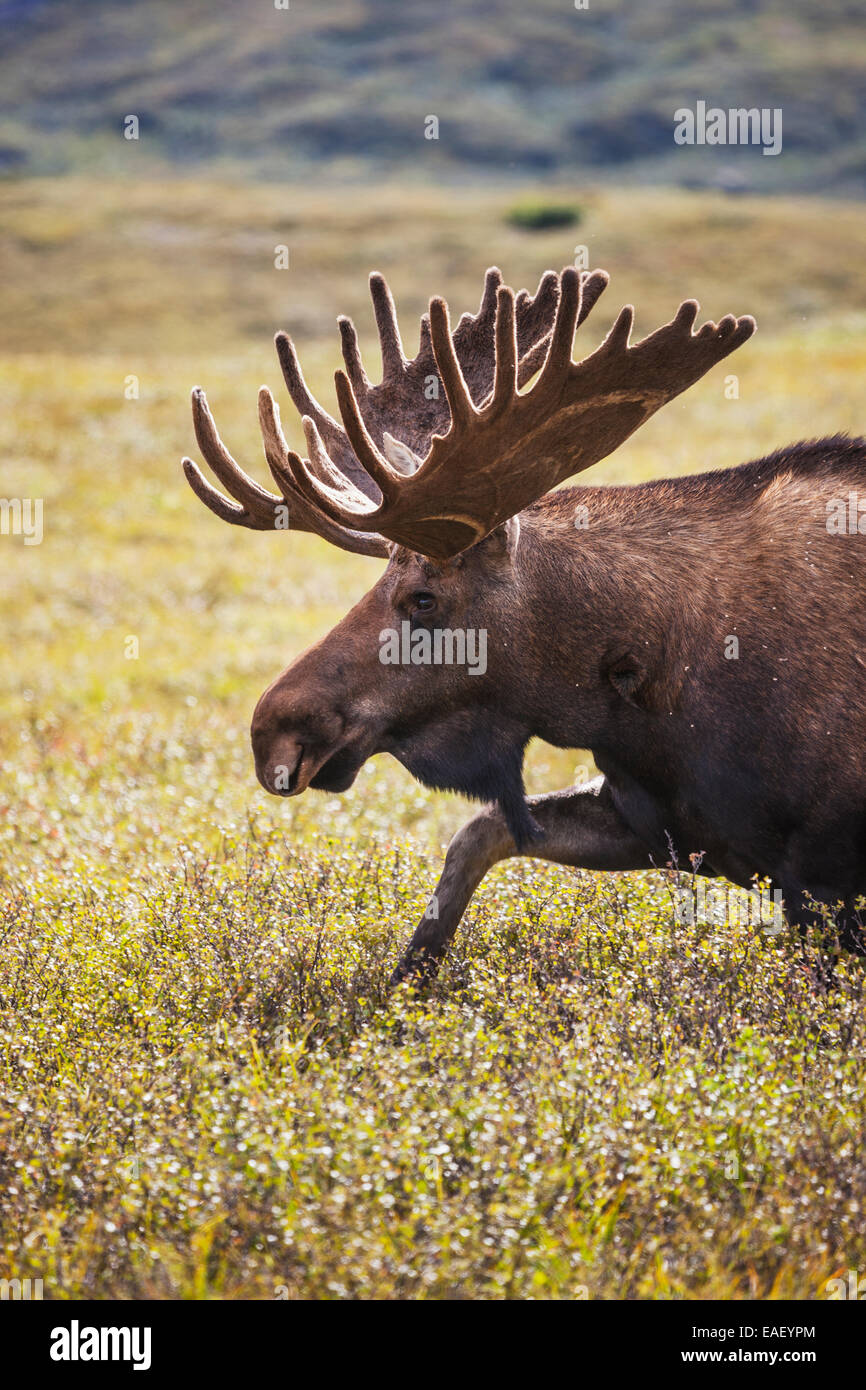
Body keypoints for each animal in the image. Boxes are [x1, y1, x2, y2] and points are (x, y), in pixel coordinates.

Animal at [182, 264, 866, 984]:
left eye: (422, 599)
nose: (272, 734)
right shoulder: (659, 819)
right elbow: (479, 834)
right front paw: (407, 981)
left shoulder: (822, 878)